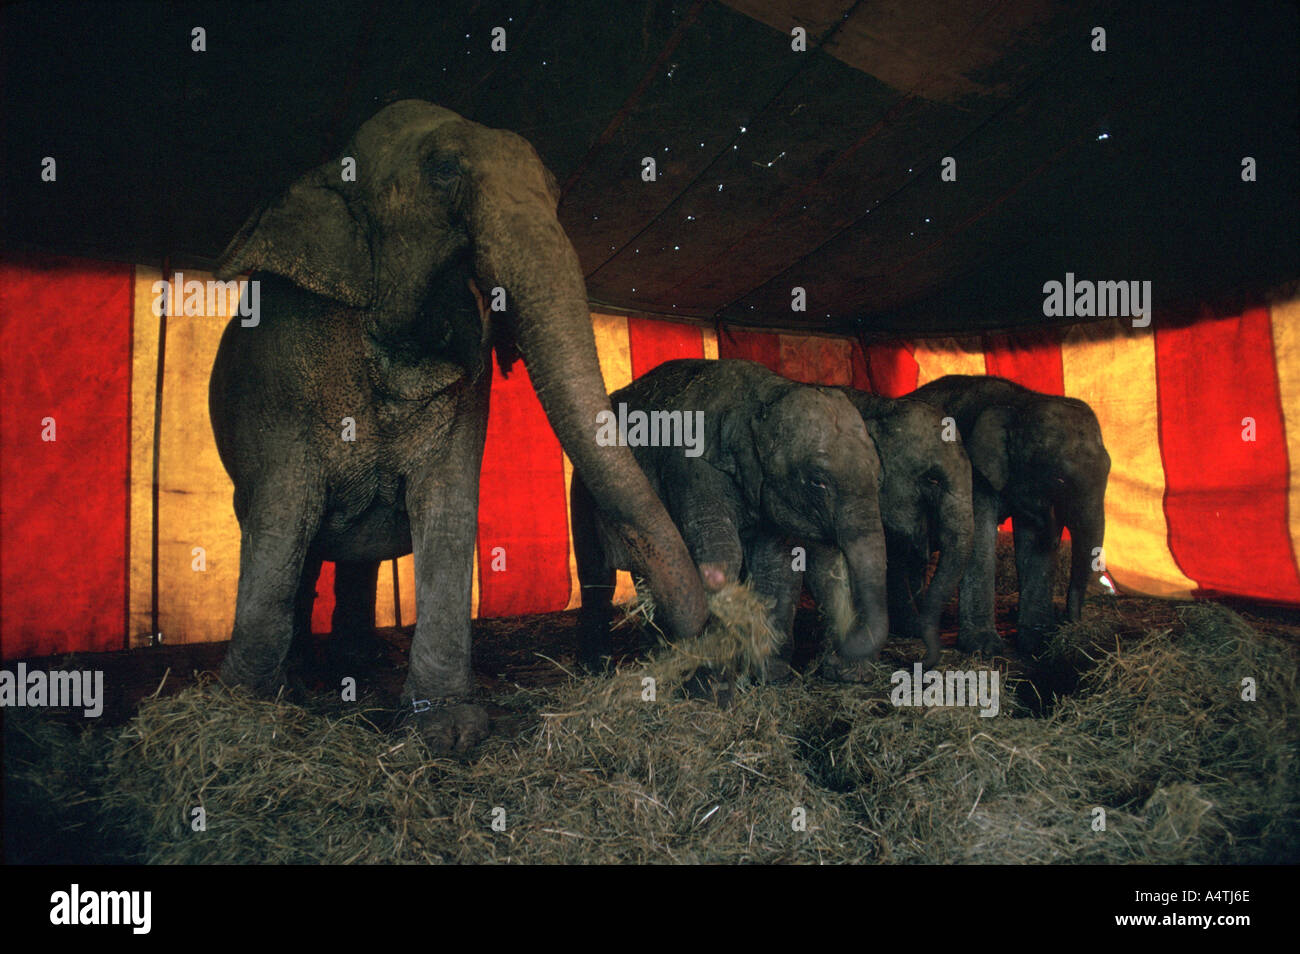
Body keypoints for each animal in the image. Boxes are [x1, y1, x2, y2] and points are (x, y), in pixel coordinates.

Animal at [208, 100, 709, 751]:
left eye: (555, 187)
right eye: (443, 170)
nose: (707, 631)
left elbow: (447, 506)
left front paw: (445, 729)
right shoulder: (279, 370)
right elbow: (285, 508)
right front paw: (249, 711)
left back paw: (354, 667)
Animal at [571, 358, 890, 675]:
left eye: (878, 474)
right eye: (817, 481)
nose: (837, 663)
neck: (764, 394)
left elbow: (776, 561)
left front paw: (770, 674)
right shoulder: (692, 468)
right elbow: (723, 551)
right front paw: (716, 671)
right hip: (583, 489)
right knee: (596, 575)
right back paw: (596, 670)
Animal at [908, 375, 1111, 654]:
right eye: (1059, 479)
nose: (1072, 624)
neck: (1021, 402)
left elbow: (1032, 544)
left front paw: (1037, 642)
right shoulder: (970, 470)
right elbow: (978, 537)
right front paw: (985, 647)